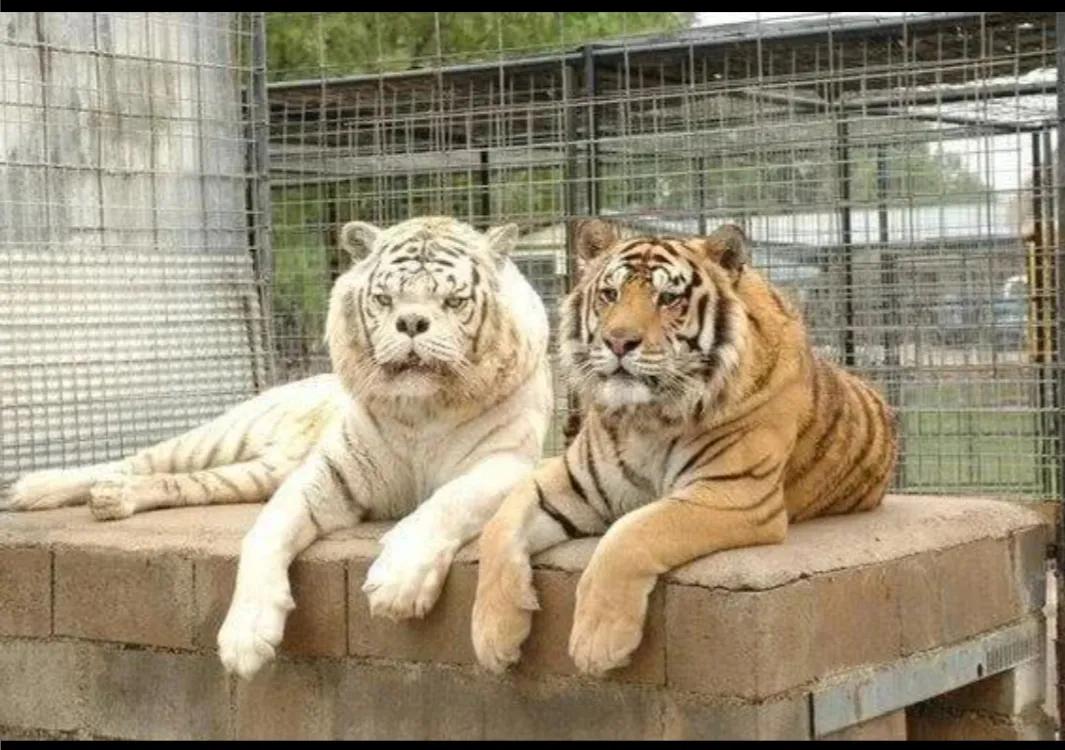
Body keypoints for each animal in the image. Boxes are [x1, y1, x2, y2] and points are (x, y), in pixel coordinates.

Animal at [4, 216, 553, 681]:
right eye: (385, 299)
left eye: (453, 302)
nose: (412, 324)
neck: (421, 412)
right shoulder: (327, 473)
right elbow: (264, 533)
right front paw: (245, 637)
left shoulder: (504, 464)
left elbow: (445, 503)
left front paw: (396, 583)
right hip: (220, 437)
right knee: (138, 458)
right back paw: (35, 488)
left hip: (251, 473)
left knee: (174, 482)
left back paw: (111, 498)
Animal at [471, 219, 898, 676]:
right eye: (610, 294)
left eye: (668, 298)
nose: (619, 342)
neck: (646, 418)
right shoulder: (570, 481)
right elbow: (500, 524)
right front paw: (492, 637)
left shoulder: (733, 493)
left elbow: (632, 531)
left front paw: (598, 642)